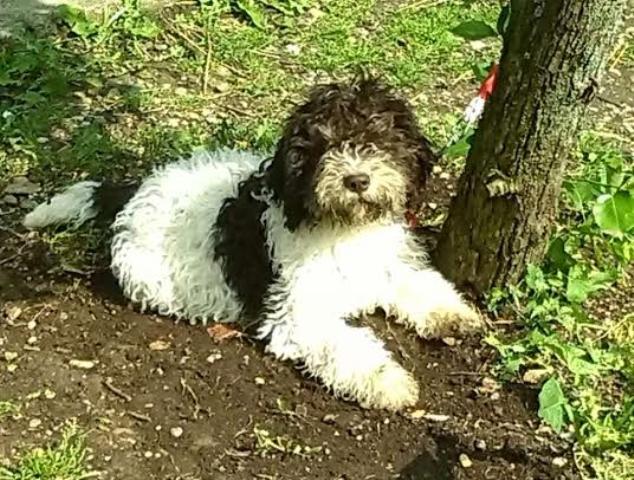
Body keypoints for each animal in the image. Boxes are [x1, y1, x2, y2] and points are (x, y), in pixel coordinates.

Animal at [23, 78, 478, 408]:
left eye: (381, 139)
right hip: (149, 277)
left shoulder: (384, 264)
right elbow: (348, 346)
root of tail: (138, 189)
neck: (343, 226)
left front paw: (453, 313)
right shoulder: (299, 314)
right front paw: (390, 383)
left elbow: (415, 282)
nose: (357, 180)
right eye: (324, 145)